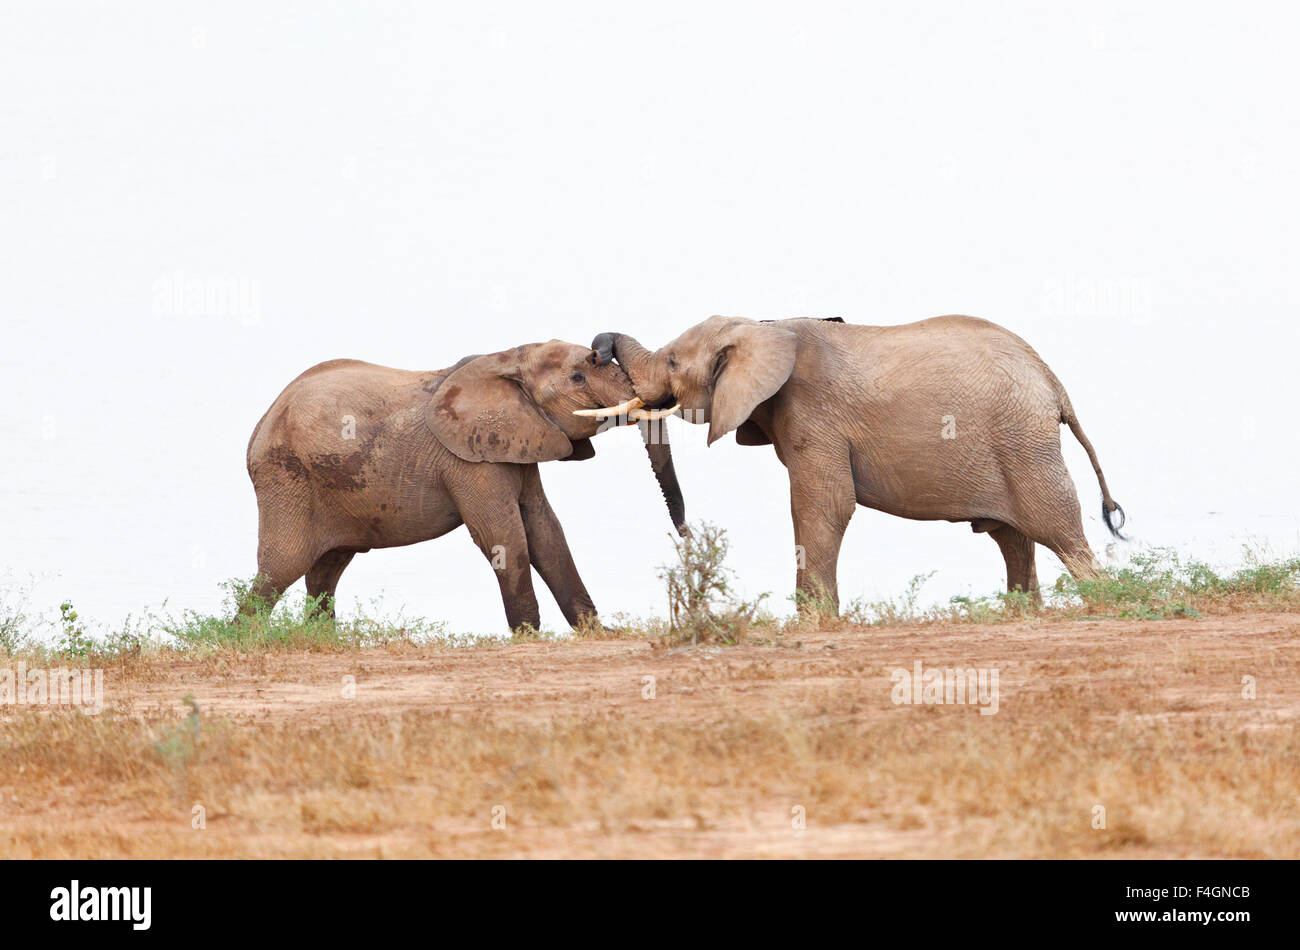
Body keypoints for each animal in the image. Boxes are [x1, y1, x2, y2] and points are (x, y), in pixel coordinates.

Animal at [243, 340, 688, 631]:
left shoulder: (519, 443)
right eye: (578, 377)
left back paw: (322, 639)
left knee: (326, 571)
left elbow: (546, 530)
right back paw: (245, 636)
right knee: (280, 569)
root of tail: (259, 427)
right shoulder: (468, 460)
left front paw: (596, 632)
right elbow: (504, 534)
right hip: (287, 479)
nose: (683, 535)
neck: (508, 358)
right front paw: (528, 635)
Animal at [584, 314, 1125, 611]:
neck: (765, 328)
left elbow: (825, 507)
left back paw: (1103, 603)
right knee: (1012, 540)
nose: (597, 350)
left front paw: (814, 622)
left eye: (674, 363)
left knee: (1059, 532)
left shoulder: (813, 413)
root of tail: (1054, 383)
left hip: (1023, 443)